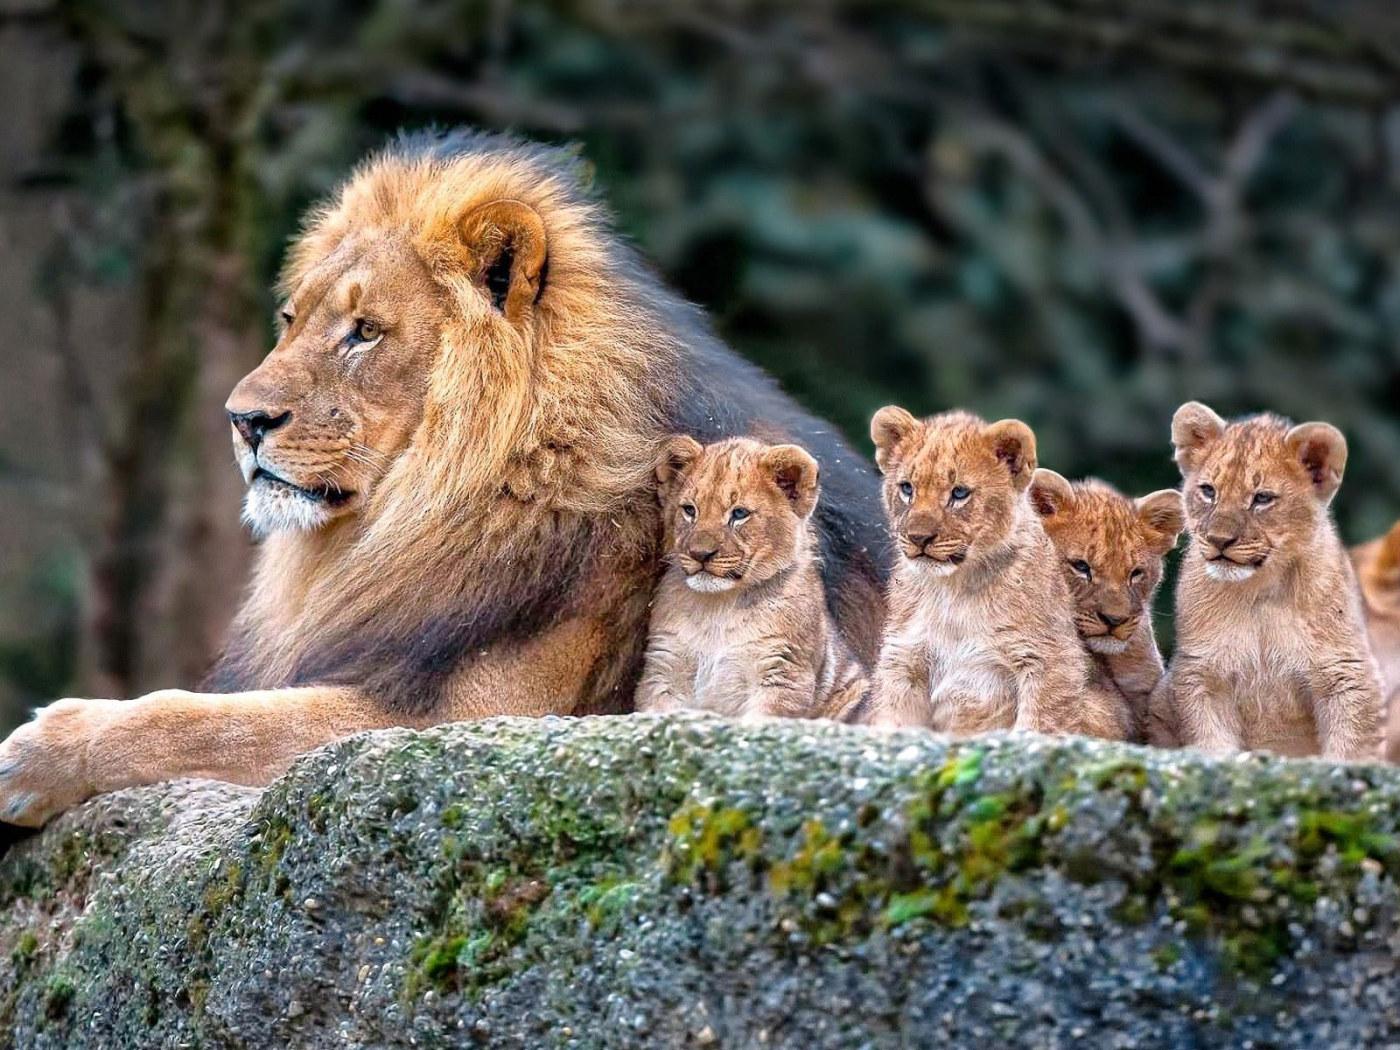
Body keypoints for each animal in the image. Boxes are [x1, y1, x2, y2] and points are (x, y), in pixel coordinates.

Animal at [635, 436, 868, 721]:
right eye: (690, 510)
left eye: (739, 514)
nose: (700, 554)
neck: (718, 607)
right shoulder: (665, 669)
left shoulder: (783, 673)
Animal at [864, 407, 1130, 740]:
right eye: (907, 488)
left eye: (959, 493)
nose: (918, 538)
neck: (954, 591)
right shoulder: (904, 659)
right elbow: (894, 720)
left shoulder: (1050, 660)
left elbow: (1040, 723)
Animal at [1158, 401, 1381, 760]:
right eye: (1208, 491)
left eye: (1262, 498)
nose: (1219, 540)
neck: (1260, 590)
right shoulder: (1202, 672)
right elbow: (1211, 740)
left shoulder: (1345, 671)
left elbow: (1350, 747)